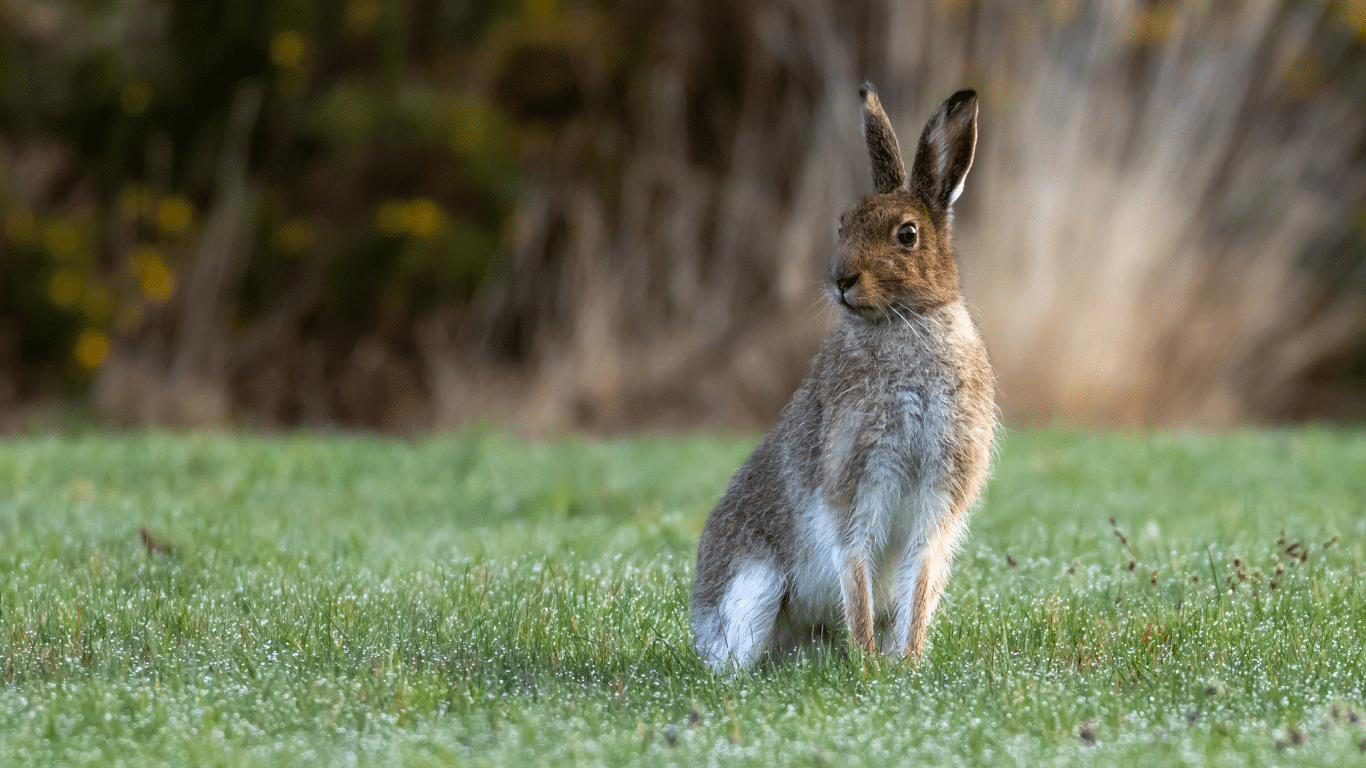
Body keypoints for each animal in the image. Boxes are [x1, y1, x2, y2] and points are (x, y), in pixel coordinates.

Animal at [692, 83, 996, 672]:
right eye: (842, 225)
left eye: (907, 234)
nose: (841, 279)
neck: (905, 321)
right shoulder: (855, 483)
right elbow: (856, 574)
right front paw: (869, 663)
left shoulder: (935, 500)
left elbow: (917, 582)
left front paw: (905, 663)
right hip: (753, 587)